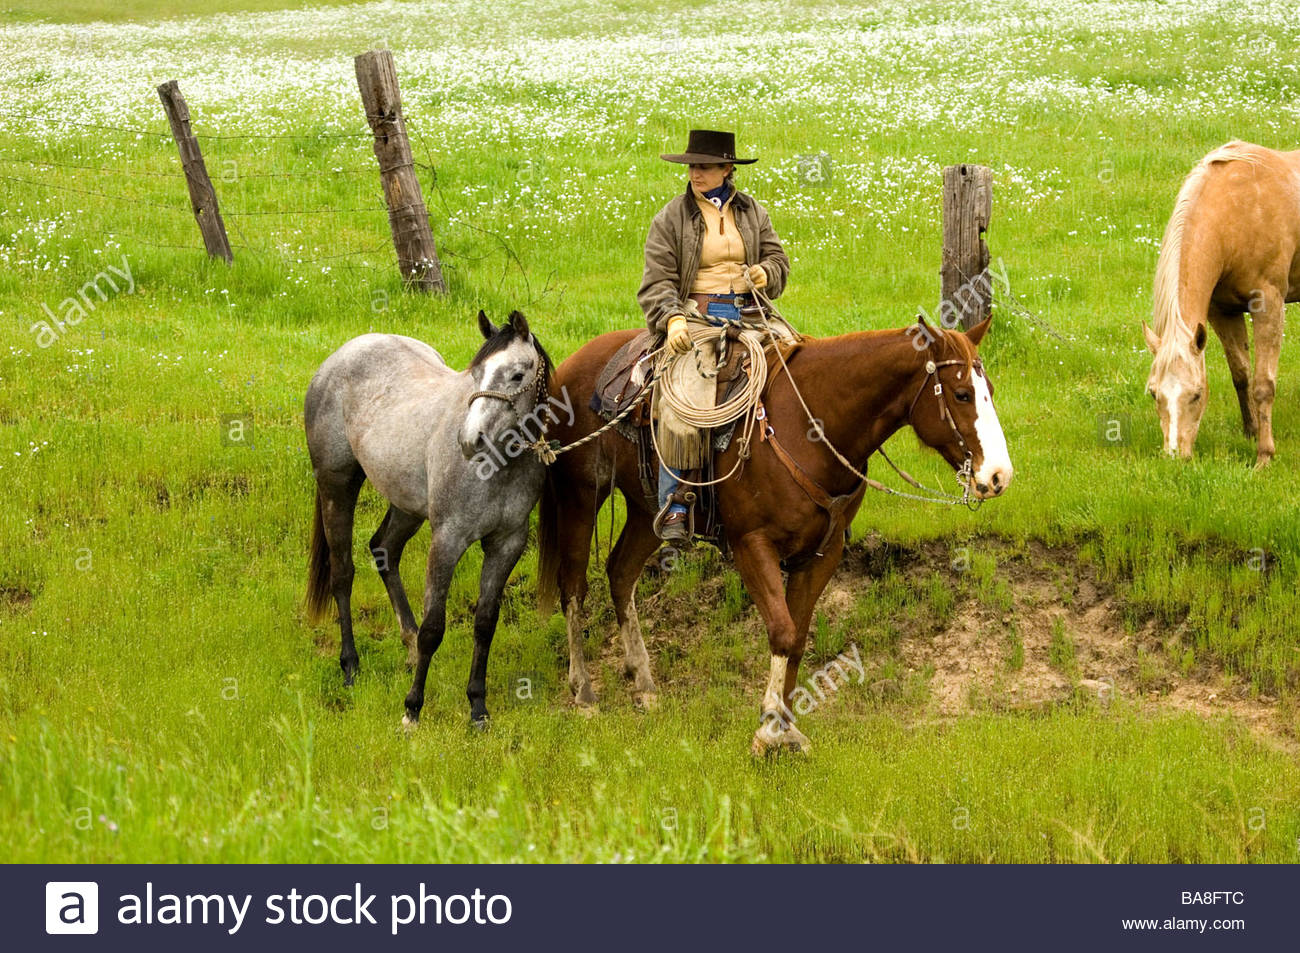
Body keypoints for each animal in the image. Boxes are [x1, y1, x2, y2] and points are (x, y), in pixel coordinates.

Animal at [304, 309, 561, 726]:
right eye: (476, 373)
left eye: (518, 374)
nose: (470, 441)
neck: (498, 468)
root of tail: (339, 357)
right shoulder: (448, 541)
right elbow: (433, 628)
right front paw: (412, 708)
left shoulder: (506, 545)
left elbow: (484, 624)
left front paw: (477, 707)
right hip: (336, 488)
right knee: (342, 575)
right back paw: (351, 666)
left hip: (406, 505)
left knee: (384, 550)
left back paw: (407, 648)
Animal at [537, 316, 1012, 754]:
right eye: (962, 394)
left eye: (990, 390)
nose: (999, 476)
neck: (810, 425)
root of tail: (574, 363)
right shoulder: (752, 545)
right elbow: (781, 631)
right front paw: (768, 730)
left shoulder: (822, 553)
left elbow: (798, 640)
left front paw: (787, 725)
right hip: (580, 496)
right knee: (573, 587)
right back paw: (584, 693)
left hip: (646, 510)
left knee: (621, 573)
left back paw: (645, 685)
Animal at [1143, 141, 1300, 465]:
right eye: (1154, 393)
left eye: (1196, 394)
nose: (1175, 456)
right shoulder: (1221, 311)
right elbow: (1241, 375)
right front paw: (1251, 431)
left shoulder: (1269, 304)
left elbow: (1263, 384)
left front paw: (1264, 455)